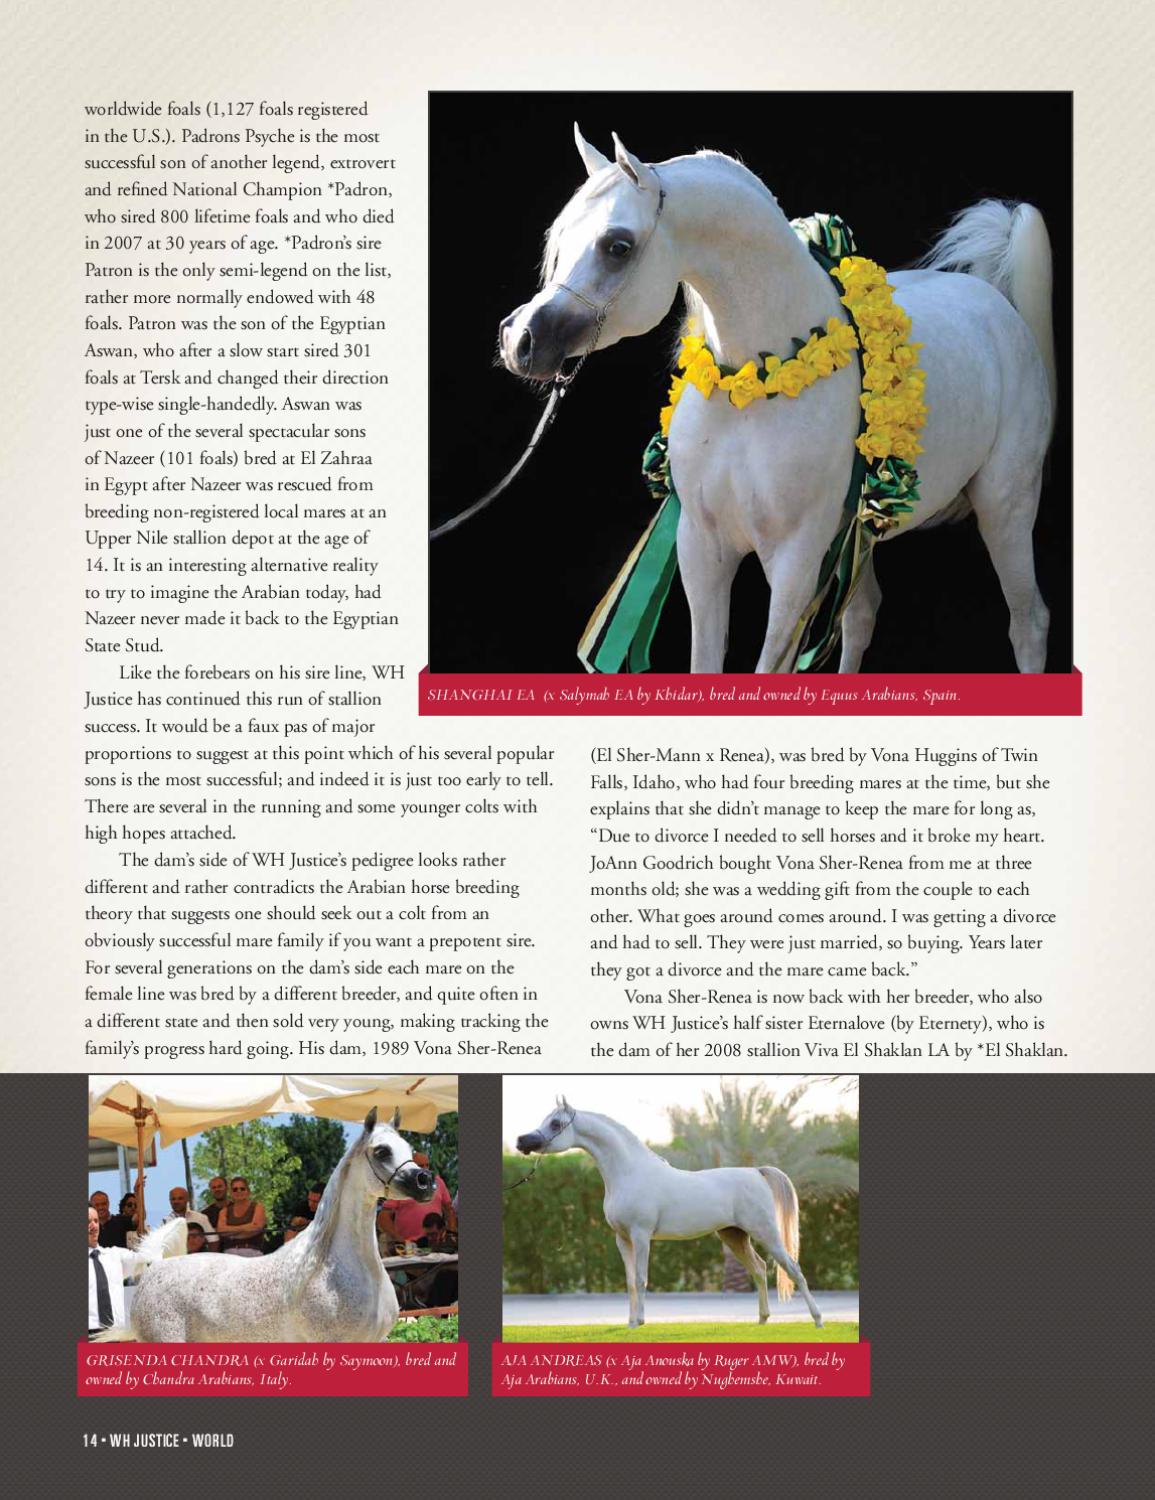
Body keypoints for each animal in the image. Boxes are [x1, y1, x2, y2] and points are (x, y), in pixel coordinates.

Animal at [498, 127, 1056, 673]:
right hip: (861, 538)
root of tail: (997, 304)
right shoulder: (702, 549)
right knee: (862, 618)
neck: (752, 393)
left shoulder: (795, 563)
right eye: (560, 239)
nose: (521, 340)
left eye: (618, 245)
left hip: (1004, 506)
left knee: (1028, 624)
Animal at [515, 1099, 823, 1330]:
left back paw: (818, 1320)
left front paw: (640, 1322)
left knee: (794, 1269)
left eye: (555, 1124)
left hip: (765, 1232)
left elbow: (641, 1278)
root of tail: (756, 1172)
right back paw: (762, 1319)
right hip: (734, 1236)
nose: (521, 1141)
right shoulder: (622, 1239)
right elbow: (630, 1282)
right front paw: (629, 1324)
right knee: (759, 1269)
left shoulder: (641, 1236)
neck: (629, 1172)